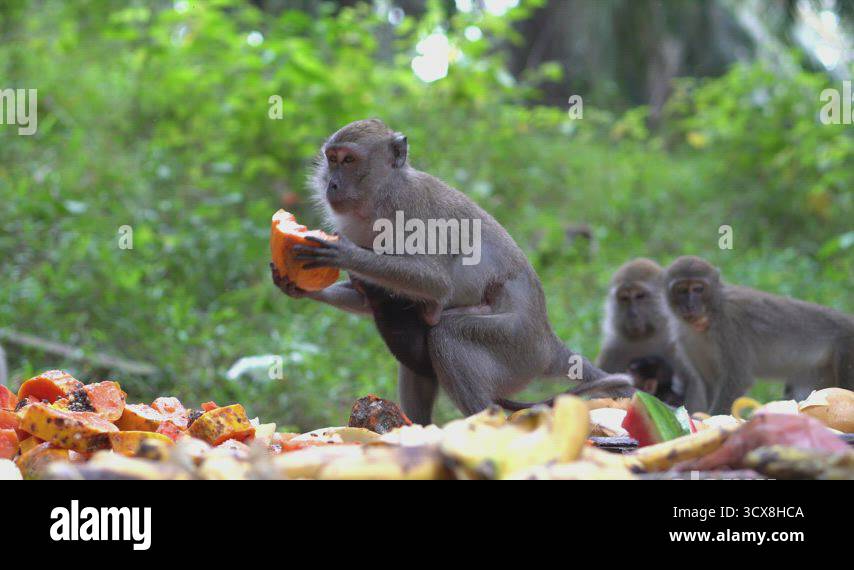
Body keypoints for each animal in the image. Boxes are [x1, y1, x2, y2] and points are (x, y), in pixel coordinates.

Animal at [271, 118, 632, 424]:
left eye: (348, 161)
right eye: (332, 159)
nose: (331, 184)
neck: (379, 196)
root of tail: (547, 341)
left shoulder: (407, 210)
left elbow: (436, 282)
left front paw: (343, 253)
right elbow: (367, 297)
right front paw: (295, 286)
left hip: (516, 345)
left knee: (447, 335)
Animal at [664, 255, 854, 415]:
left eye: (698, 289)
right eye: (682, 290)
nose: (690, 306)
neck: (711, 315)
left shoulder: (729, 326)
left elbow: (737, 379)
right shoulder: (686, 339)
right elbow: (709, 382)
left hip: (847, 348)